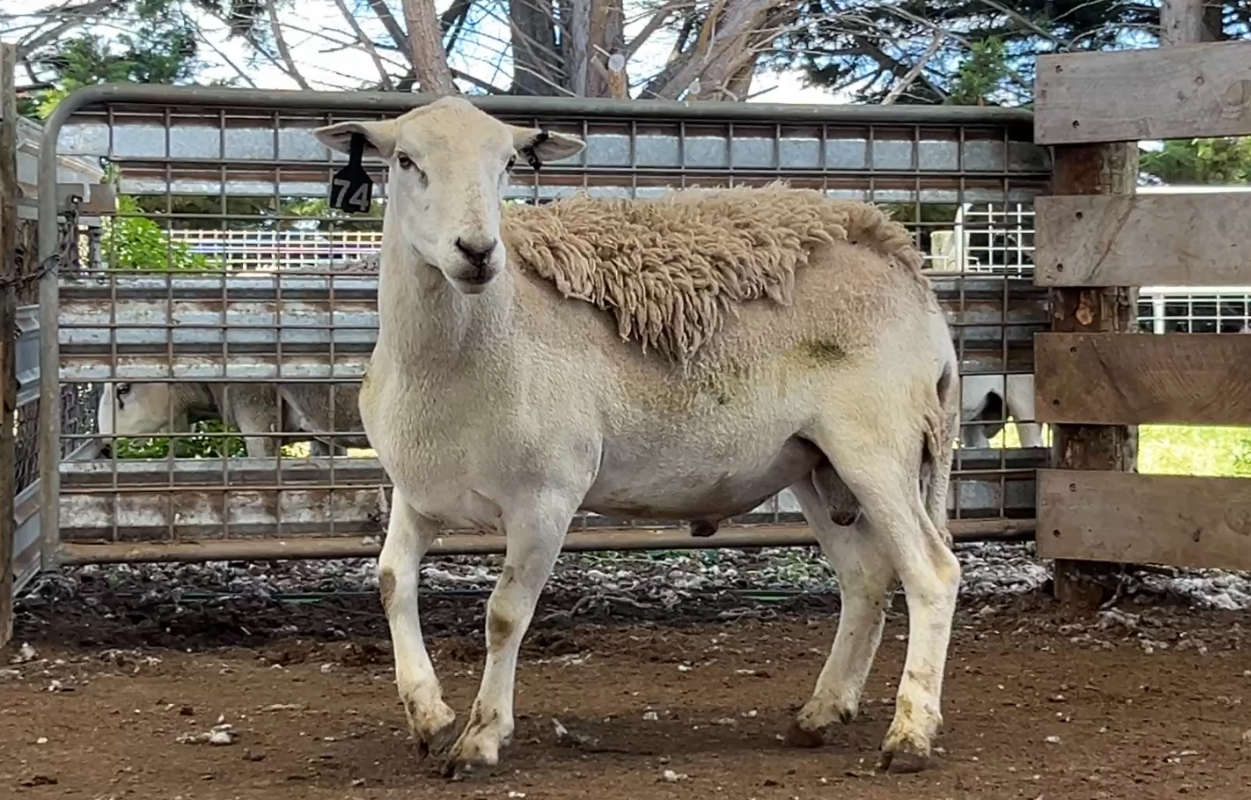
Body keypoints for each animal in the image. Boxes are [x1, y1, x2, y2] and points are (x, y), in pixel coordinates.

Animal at [312, 96, 962, 779]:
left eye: (508, 163)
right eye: (405, 160)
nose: (478, 250)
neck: (474, 347)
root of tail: (908, 275)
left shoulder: (547, 498)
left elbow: (505, 614)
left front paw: (482, 737)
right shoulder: (418, 493)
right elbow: (391, 582)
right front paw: (429, 715)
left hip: (876, 446)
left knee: (932, 573)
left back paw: (910, 735)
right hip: (815, 465)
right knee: (865, 578)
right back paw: (822, 712)